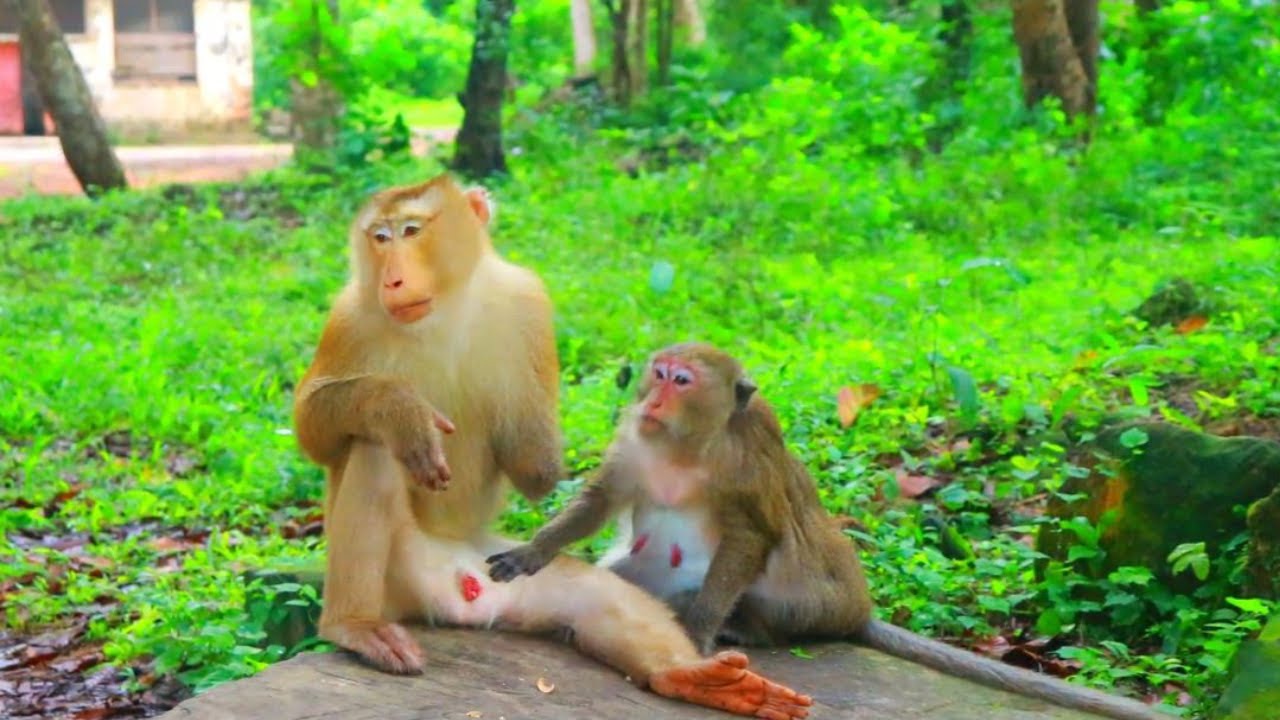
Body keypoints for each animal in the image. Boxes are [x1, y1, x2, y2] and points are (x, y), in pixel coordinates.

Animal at [292, 177, 812, 720]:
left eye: (411, 231)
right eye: (380, 237)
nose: (391, 280)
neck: (444, 313)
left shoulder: (528, 300)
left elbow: (536, 466)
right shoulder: (349, 315)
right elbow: (314, 428)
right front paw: (401, 408)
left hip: (497, 567)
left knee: (596, 595)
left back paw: (688, 676)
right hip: (397, 577)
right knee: (376, 447)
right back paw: (356, 625)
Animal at [486, 342, 1171, 720]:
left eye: (682, 381)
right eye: (658, 373)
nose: (653, 400)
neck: (684, 445)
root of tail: (857, 611)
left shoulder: (749, 460)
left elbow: (753, 536)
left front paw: (701, 629)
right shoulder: (635, 441)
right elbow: (601, 500)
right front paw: (532, 552)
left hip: (806, 604)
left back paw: (743, 625)